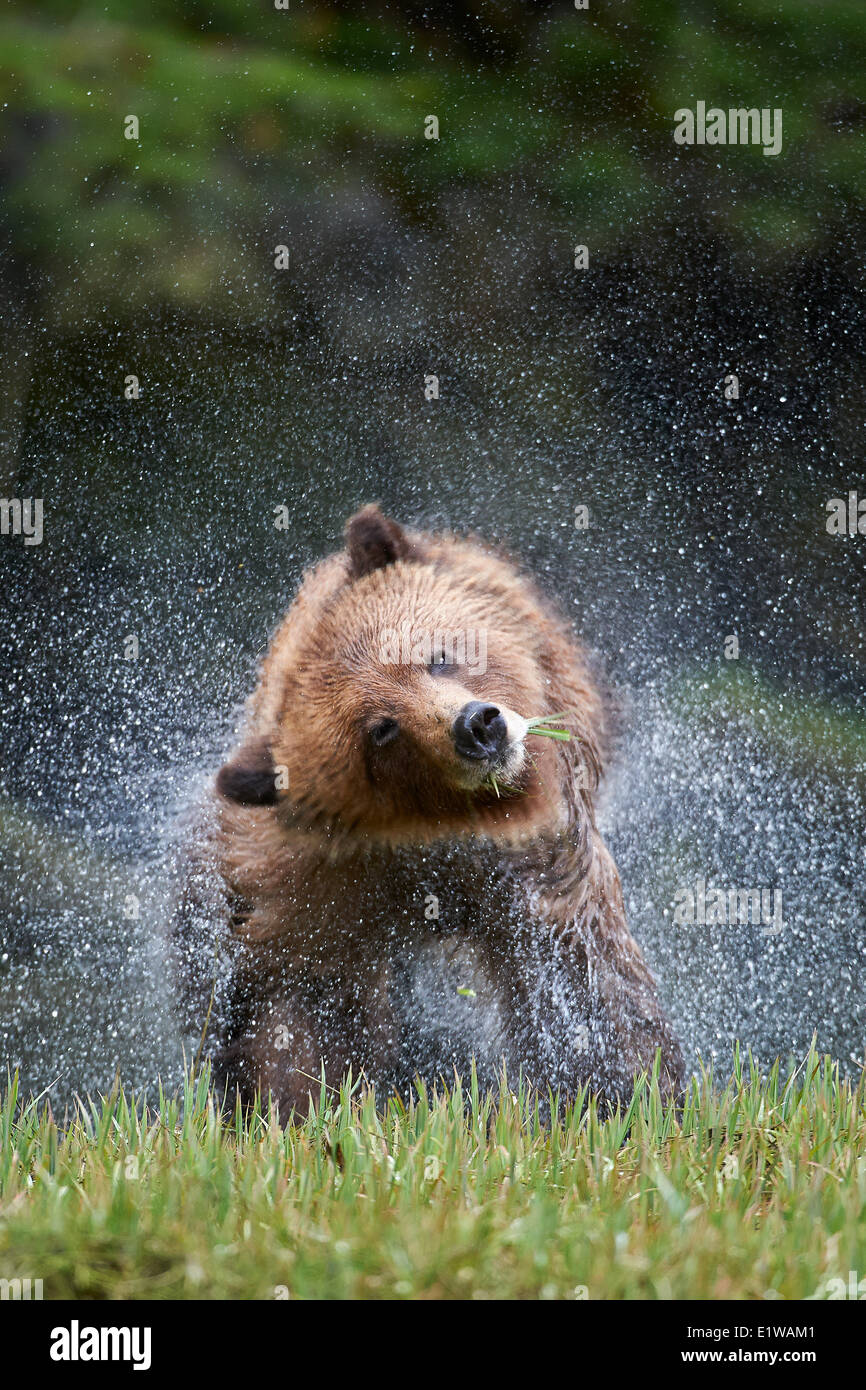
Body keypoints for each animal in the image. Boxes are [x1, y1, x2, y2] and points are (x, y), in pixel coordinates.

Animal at [171, 505, 685, 1114]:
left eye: (437, 656)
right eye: (381, 729)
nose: (478, 727)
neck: (431, 837)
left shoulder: (527, 860)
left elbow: (578, 973)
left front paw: (625, 1089)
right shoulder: (310, 893)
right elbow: (301, 1012)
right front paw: (292, 1103)